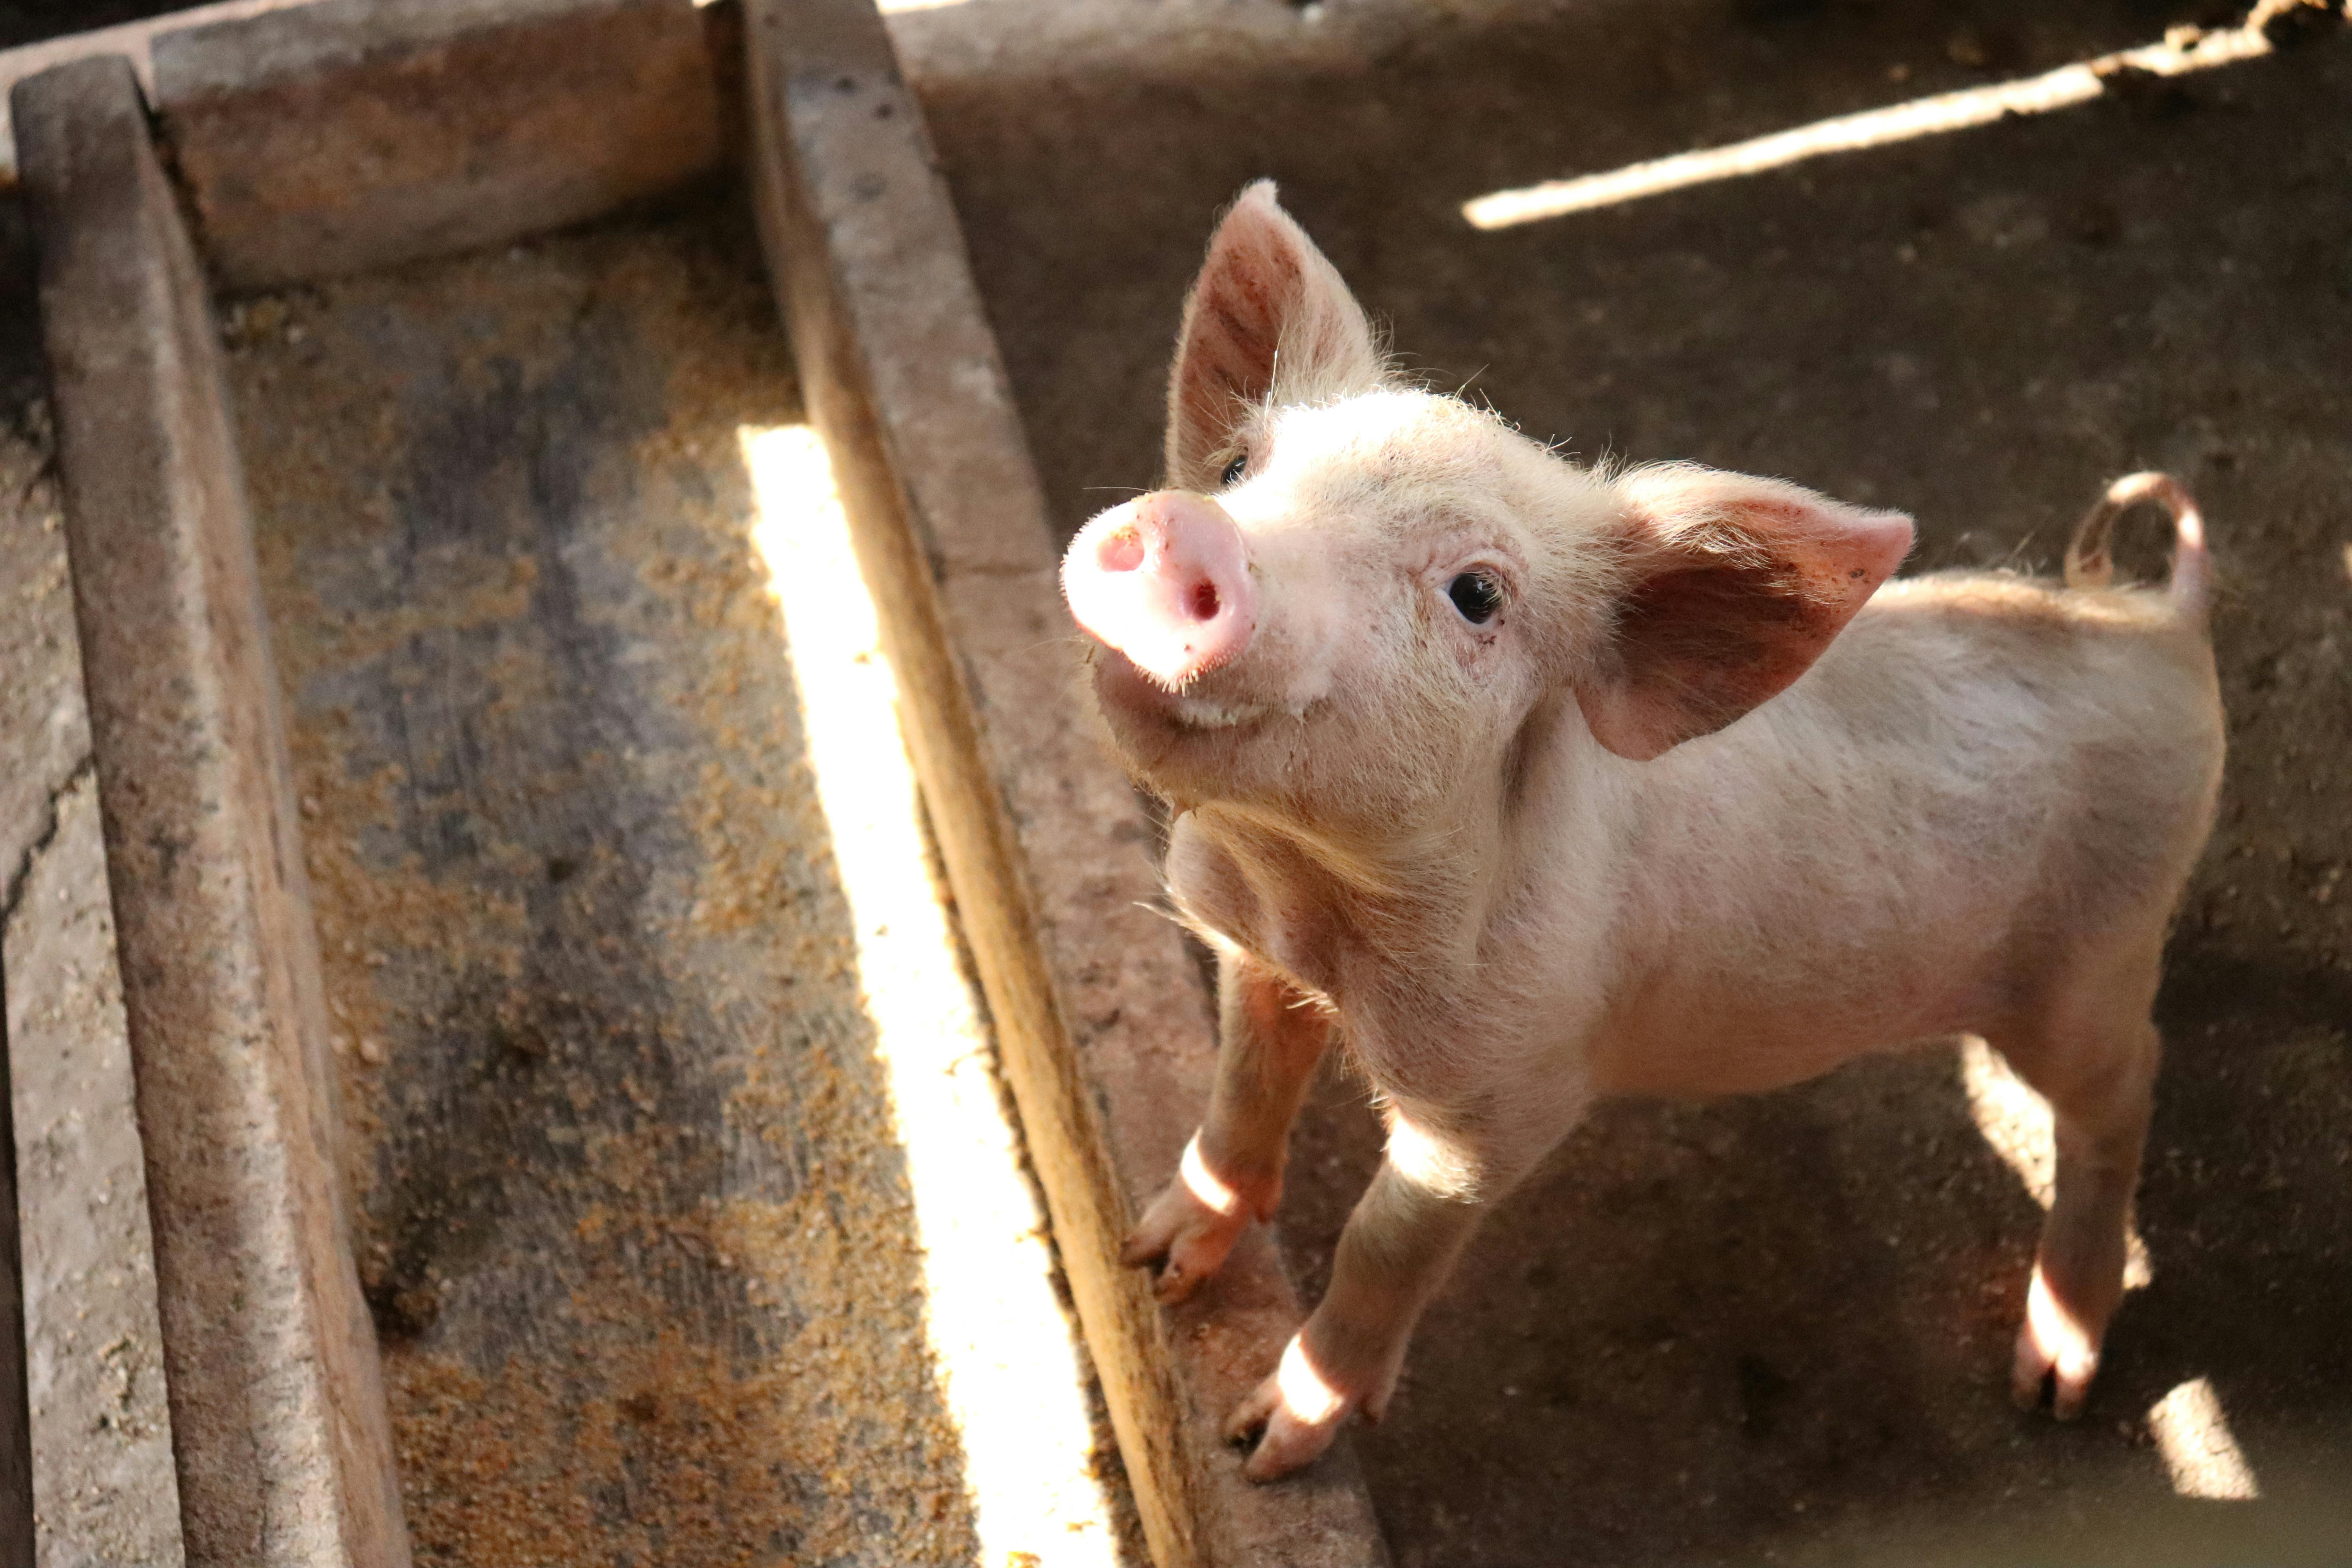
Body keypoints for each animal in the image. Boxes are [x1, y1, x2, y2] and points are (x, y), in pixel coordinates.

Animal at [1059, 181, 2224, 1482]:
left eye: (1477, 595)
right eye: (1235, 464)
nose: (1183, 530)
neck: (1312, 903)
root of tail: (2163, 629)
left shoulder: (1507, 1093)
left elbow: (1379, 1242)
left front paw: (1263, 1446)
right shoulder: (1252, 956)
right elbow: (1238, 1100)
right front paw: (1150, 1263)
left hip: (2086, 964)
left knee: (2125, 1086)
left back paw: (2050, 1382)